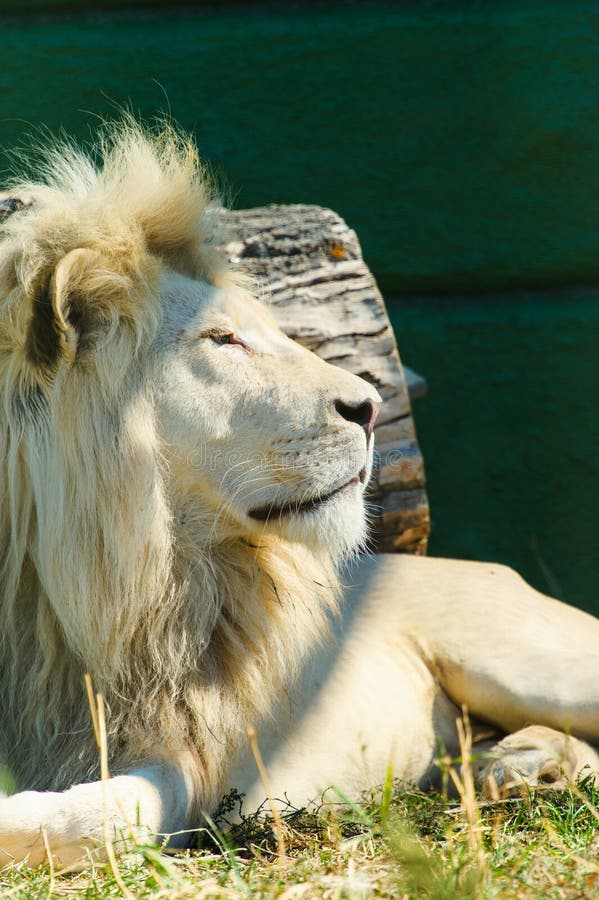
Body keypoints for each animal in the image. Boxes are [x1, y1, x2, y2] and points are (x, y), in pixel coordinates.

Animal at [0, 121, 597, 868]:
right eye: (222, 338)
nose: (369, 408)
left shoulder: (185, 763)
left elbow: (83, 815)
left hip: (532, 665)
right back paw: (519, 766)